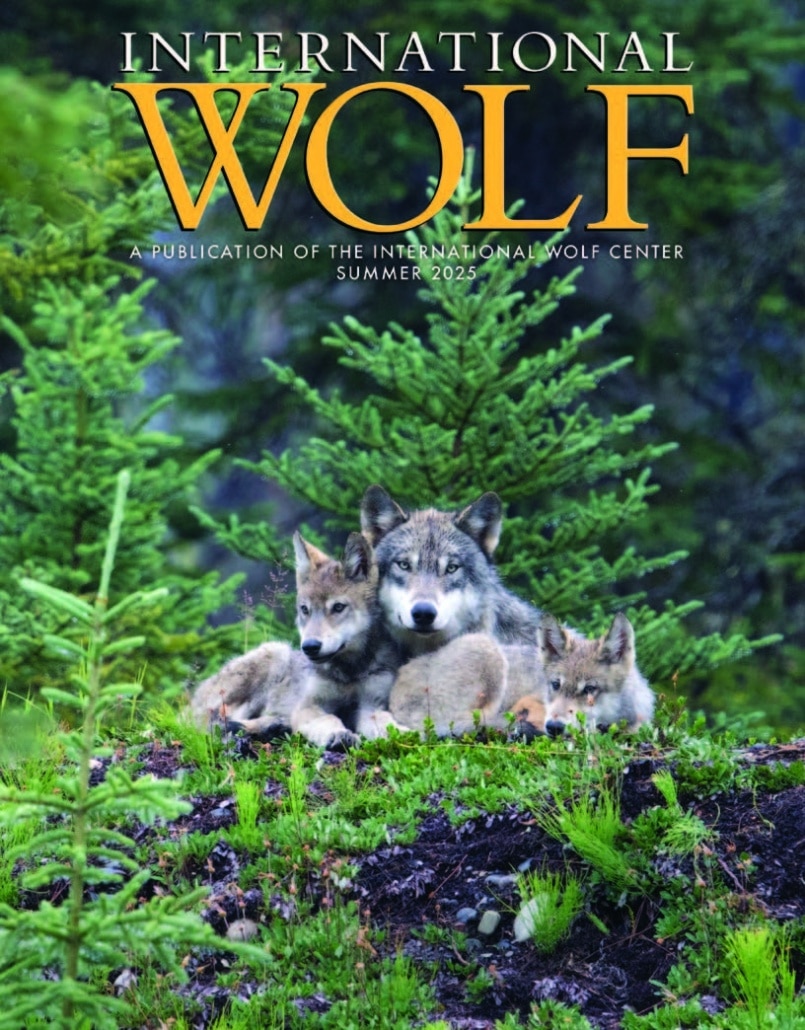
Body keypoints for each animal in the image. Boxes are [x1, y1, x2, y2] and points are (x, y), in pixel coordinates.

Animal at [191, 531, 405, 749]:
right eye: (305, 609)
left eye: (338, 607)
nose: (310, 646)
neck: (349, 671)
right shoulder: (309, 705)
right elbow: (329, 719)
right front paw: (338, 734)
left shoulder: (371, 705)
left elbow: (386, 722)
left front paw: (404, 733)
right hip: (275, 653)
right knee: (212, 721)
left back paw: (275, 726)